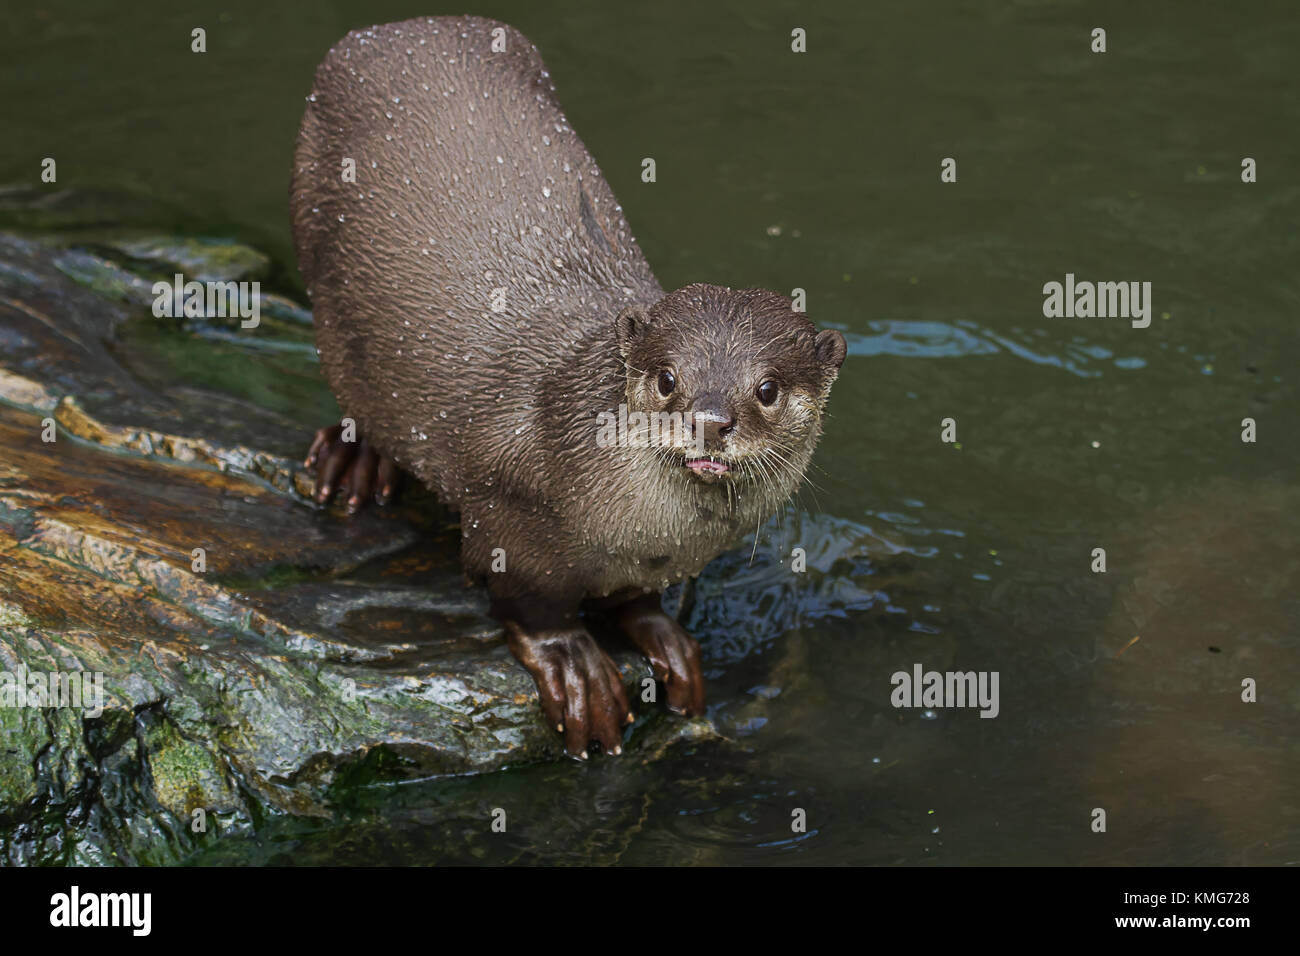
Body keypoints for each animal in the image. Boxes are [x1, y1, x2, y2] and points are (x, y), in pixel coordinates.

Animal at [290, 15, 846, 757]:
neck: (658, 536)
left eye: (767, 389)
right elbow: (526, 606)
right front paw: (575, 666)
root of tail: (394, 30)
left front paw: (667, 640)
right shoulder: (510, 519)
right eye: (667, 377)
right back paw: (353, 461)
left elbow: (634, 602)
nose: (708, 419)